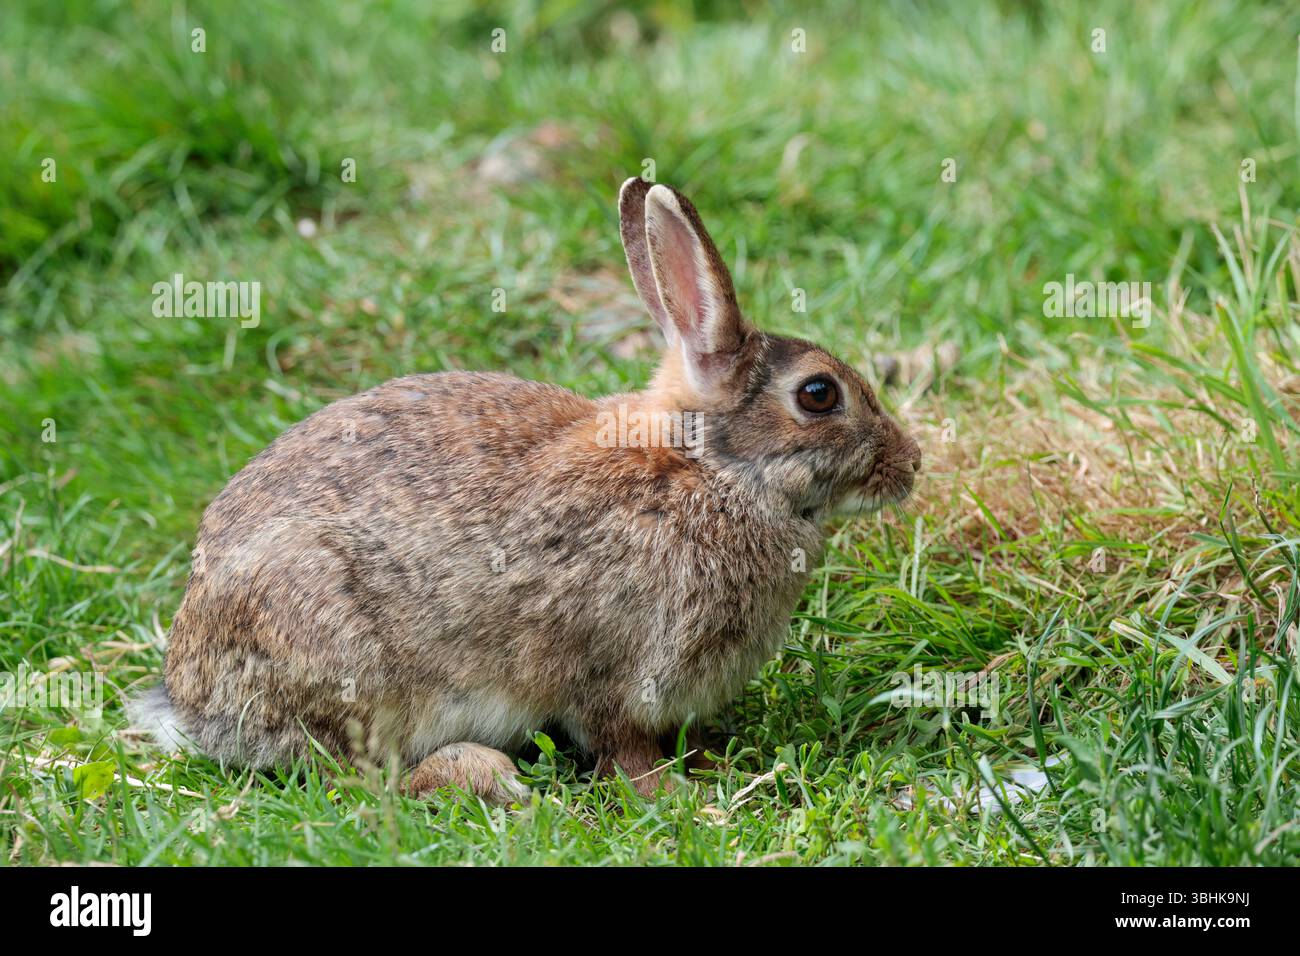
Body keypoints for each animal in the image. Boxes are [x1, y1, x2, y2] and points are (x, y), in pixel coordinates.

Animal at [130, 178, 922, 803]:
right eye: (819, 394)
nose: (910, 464)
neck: (709, 471)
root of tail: (191, 700)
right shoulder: (615, 673)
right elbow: (621, 747)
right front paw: (677, 793)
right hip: (340, 655)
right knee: (358, 779)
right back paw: (478, 773)